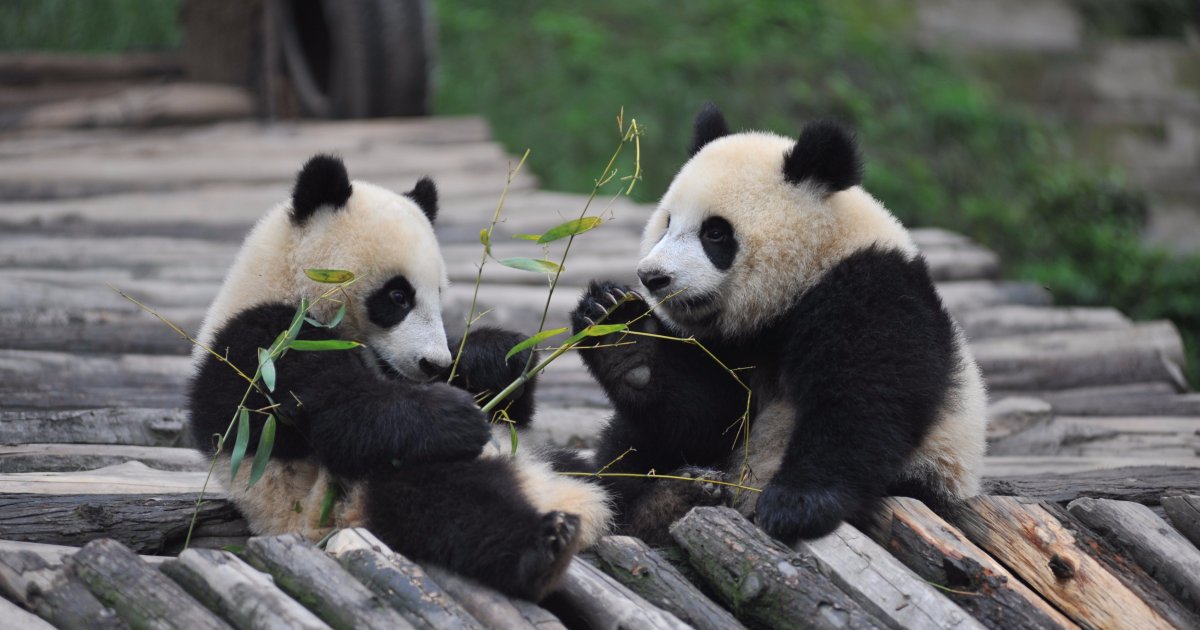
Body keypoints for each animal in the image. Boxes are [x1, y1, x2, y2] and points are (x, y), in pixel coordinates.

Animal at [189, 154, 611, 601]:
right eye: (397, 296)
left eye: (438, 294)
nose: (433, 364)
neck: (282, 280)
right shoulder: (265, 345)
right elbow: (338, 414)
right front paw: (455, 416)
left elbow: (505, 406)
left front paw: (500, 357)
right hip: (346, 502)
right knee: (444, 500)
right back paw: (544, 548)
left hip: (548, 459)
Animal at [571, 103, 987, 544]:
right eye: (667, 223)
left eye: (715, 232)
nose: (653, 277)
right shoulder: (729, 347)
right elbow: (705, 416)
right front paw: (620, 334)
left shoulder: (872, 288)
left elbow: (863, 397)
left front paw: (796, 505)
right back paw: (668, 498)